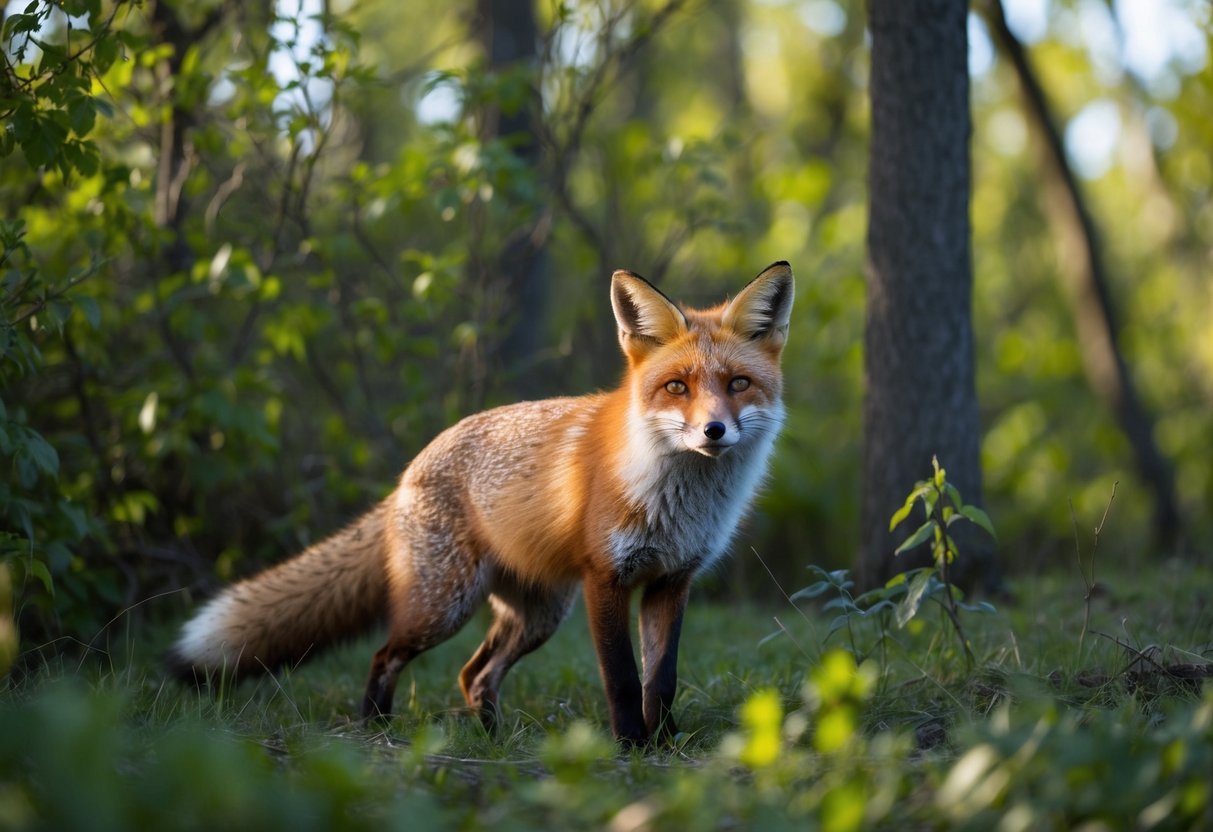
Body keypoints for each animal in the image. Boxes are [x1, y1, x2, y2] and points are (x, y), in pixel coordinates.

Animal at [169, 261, 794, 744]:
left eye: (738, 384)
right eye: (677, 387)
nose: (714, 431)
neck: (679, 501)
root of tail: (408, 471)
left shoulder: (671, 581)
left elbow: (659, 681)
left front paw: (664, 746)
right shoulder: (606, 578)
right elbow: (621, 678)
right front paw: (632, 749)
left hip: (538, 614)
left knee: (475, 676)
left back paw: (493, 741)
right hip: (444, 606)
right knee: (385, 655)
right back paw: (377, 730)